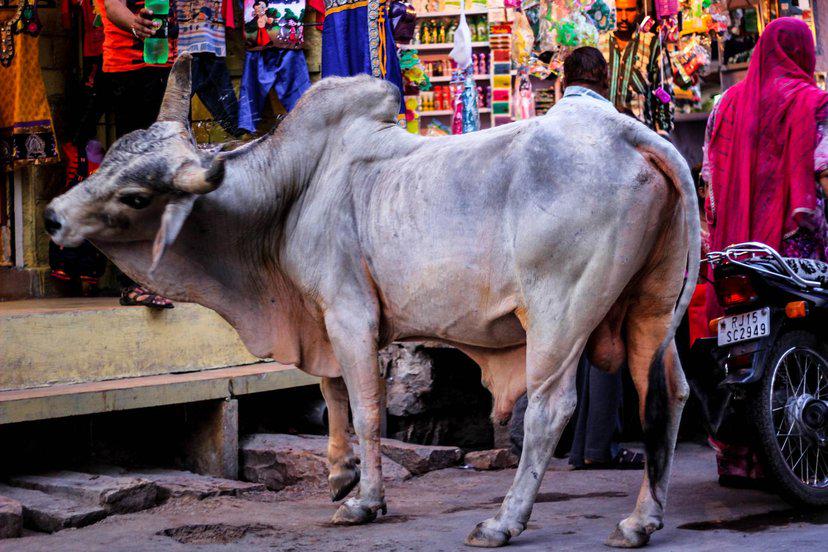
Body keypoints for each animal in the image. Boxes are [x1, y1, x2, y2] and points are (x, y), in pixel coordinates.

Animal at [45, 54, 700, 548]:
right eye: (112, 156)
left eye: (136, 196)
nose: (52, 217)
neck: (293, 192)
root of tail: (630, 133)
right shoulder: (321, 322)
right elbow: (330, 393)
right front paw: (339, 475)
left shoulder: (349, 314)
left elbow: (364, 407)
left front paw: (365, 500)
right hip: (650, 312)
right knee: (667, 396)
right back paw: (641, 521)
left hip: (559, 315)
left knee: (549, 408)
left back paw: (504, 521)